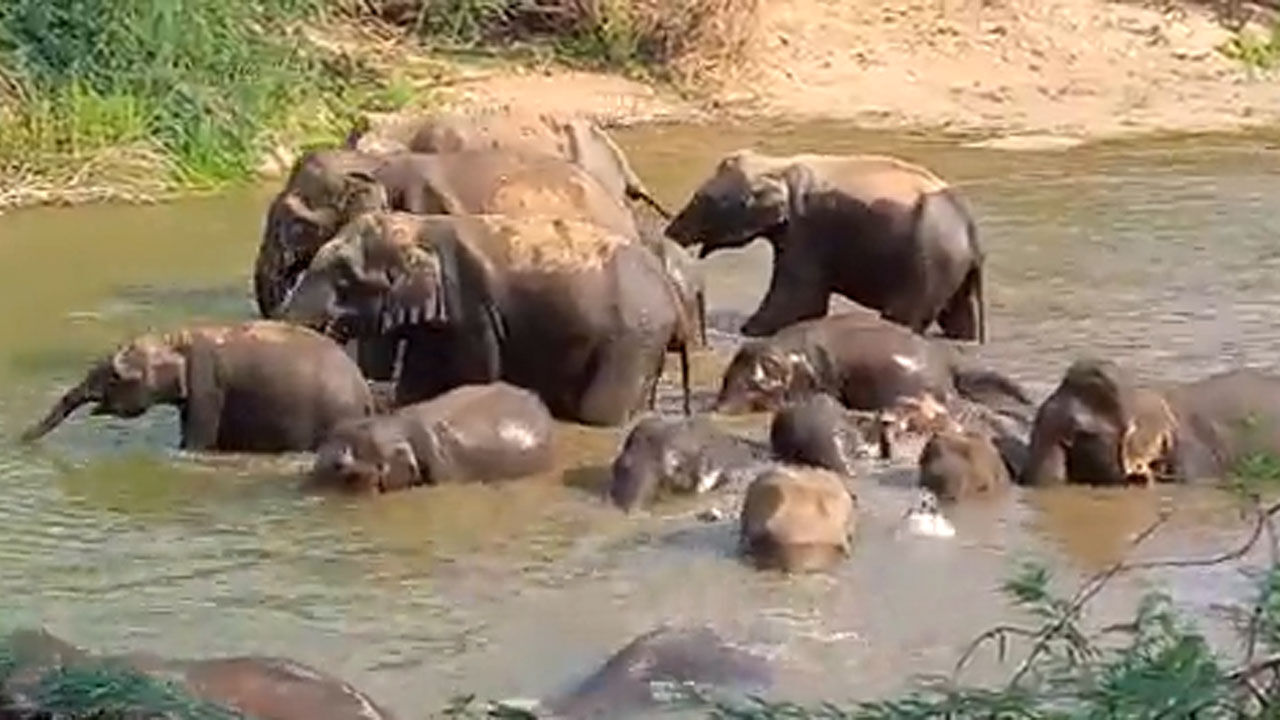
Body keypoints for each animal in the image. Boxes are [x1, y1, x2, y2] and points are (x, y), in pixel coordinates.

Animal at [21, 321, 374, 453]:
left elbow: (196, 443)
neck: (176, 338)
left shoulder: (207, 385)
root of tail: (365, 393)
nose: (21, 438)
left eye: (114, 377)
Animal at [280, 211, 691, 427]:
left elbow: (474, 376)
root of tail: (671, 295)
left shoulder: (474, 308)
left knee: (599, 411)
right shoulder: (442, 320)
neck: (421, 227)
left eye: (344, 279)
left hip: (632, 338)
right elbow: (416, 384)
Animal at [665, 149, 985, 341]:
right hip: (953, 268)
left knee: (905, 316)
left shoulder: (807, 230)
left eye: (702, 199)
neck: (777, 164)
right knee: (959, 317)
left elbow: (801, 300)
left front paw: (747, 331)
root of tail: (969, 225)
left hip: (930, 260)